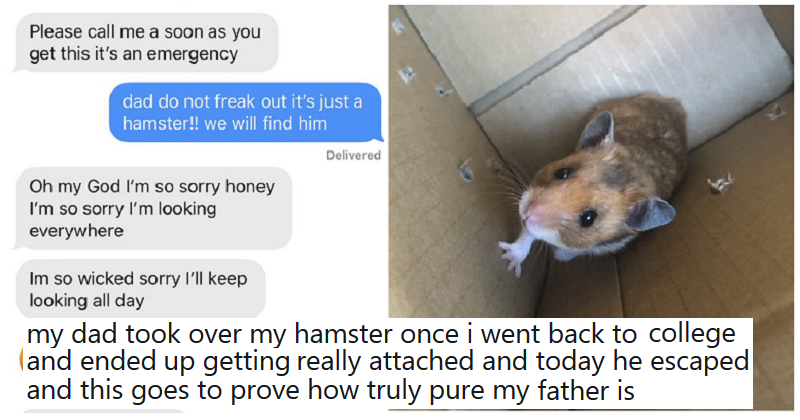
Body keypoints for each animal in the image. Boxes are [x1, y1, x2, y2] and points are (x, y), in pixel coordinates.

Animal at [499, 94, 688, 276]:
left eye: (588, 219)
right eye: (562, 172)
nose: (528, 213)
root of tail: (675, 103)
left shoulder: (607, 244)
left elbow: (574, 249)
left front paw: (558, 255)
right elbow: (527, 234)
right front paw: (508, 260)